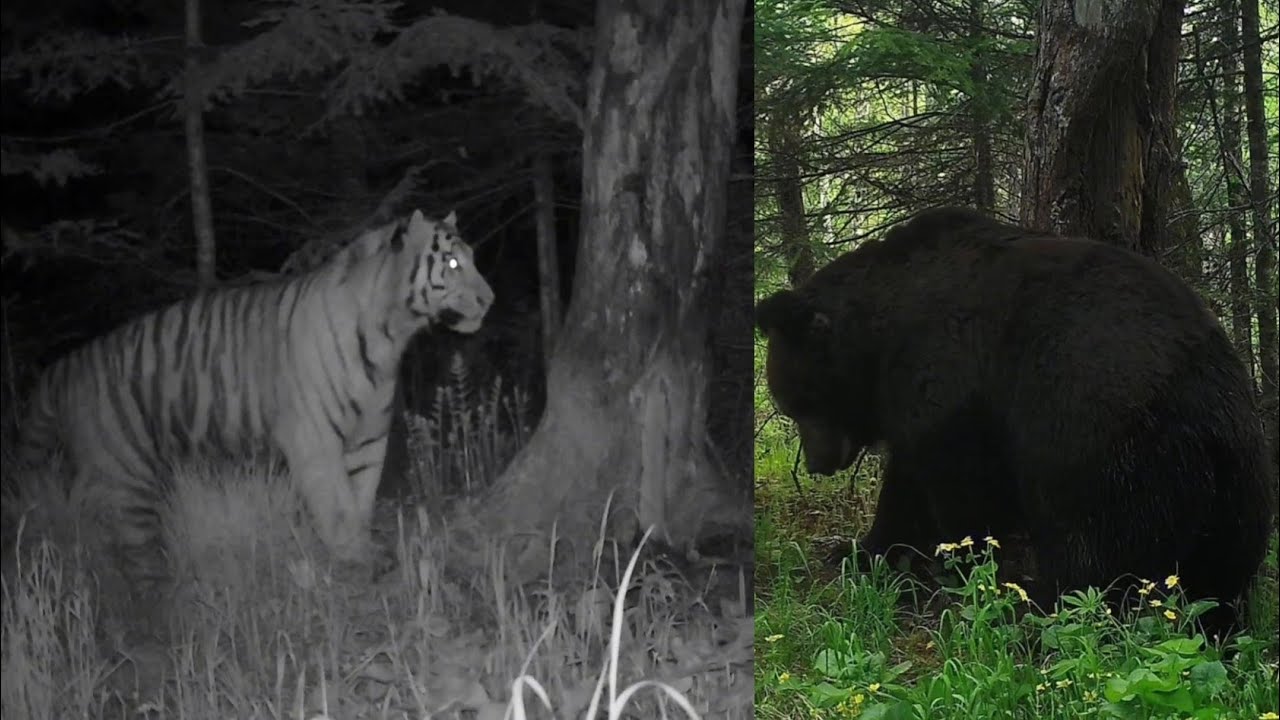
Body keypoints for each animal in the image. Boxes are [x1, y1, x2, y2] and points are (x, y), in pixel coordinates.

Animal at [16, 209, 493, 584]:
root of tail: (66, 365)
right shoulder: (315, 439)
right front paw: (354, 560)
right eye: (453, 262)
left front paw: (362, 551)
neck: (389, 337)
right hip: (122, 475)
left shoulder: (368, 439)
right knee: (125, 548)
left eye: (470, 258)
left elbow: (360, 499)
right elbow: (337, 506)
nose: (490, 299)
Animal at [756, 206, 1273, 635]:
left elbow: (957, 487)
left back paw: (1042, 608)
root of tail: (1205, 414)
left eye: (802, 403)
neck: (880, 340)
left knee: (1097, 550)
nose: (818, 463)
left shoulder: (947, 379)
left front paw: (960, 564)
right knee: (1223, 570)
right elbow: (905, 486)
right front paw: (859, 550)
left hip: (1103, 446)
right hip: (1238, 480)